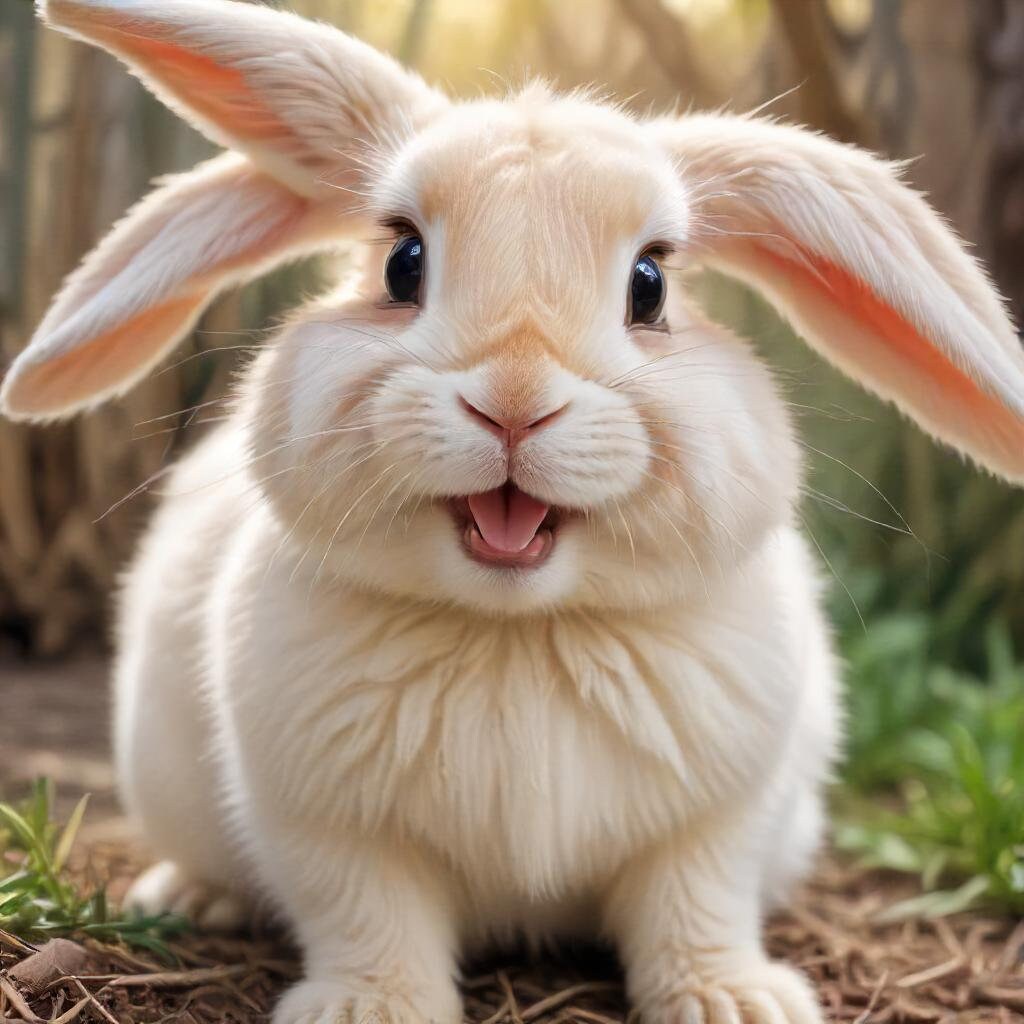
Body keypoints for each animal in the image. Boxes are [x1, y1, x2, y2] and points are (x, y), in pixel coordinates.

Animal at [5, 1, 1024, 1022]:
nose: (513, 403)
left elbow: (695, 907)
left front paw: (733, 1000)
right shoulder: (329, 826)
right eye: (404, 263)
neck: (520, 631)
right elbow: (367, 916)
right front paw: (369, 1008)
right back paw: (193, 895)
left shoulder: (718, 821)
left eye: (650, 284)